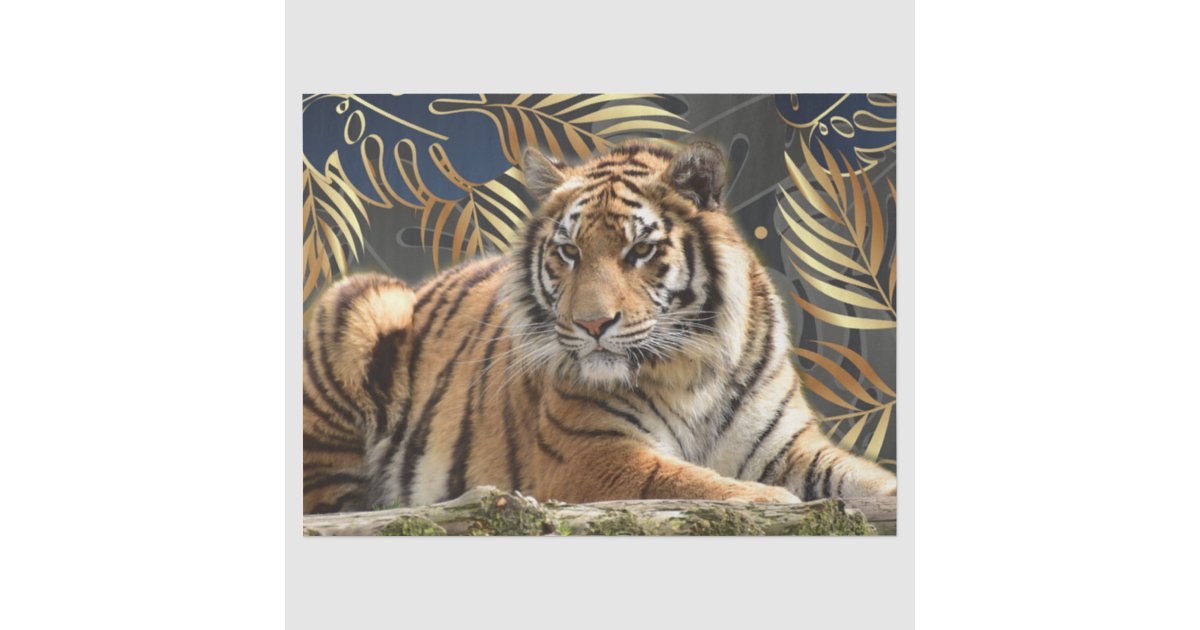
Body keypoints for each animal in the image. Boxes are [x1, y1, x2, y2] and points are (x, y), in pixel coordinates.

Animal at [303, 139, 897, 515]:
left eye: (640, 251)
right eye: (568, 252)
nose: (592, 324)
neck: (691, 371)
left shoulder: (788, 448)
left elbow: (862, 476)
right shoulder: (593, 456)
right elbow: (684, 481)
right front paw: (775, 503)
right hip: (362, 301)